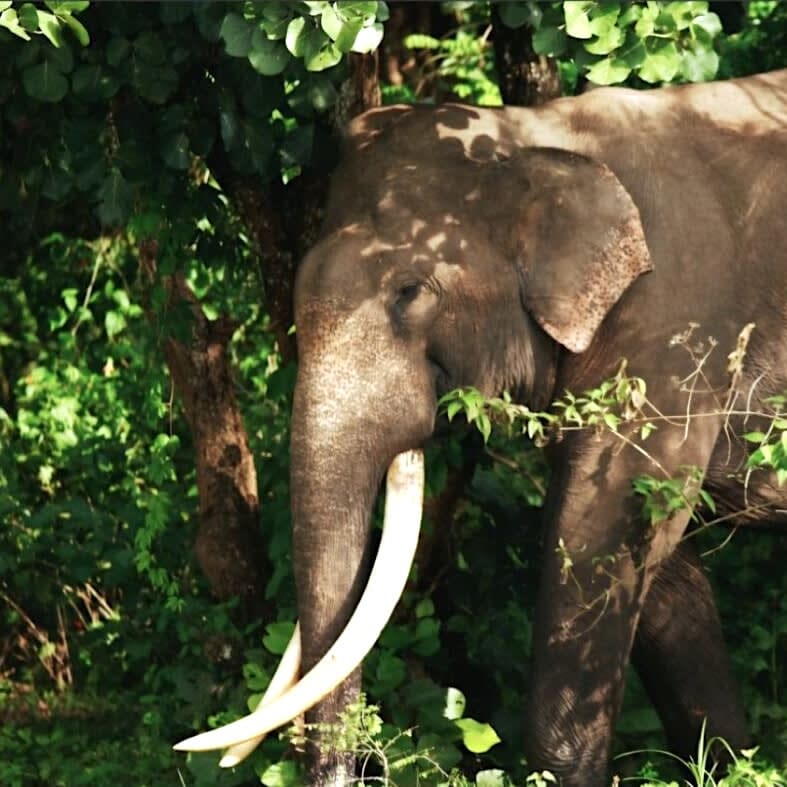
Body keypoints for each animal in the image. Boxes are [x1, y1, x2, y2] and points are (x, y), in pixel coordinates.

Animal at [176, 69, 787, 786]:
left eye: (409, 292)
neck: (534, 134)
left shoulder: (671, 329)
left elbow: (600, 534)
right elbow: (662, 566)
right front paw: (731, 765)